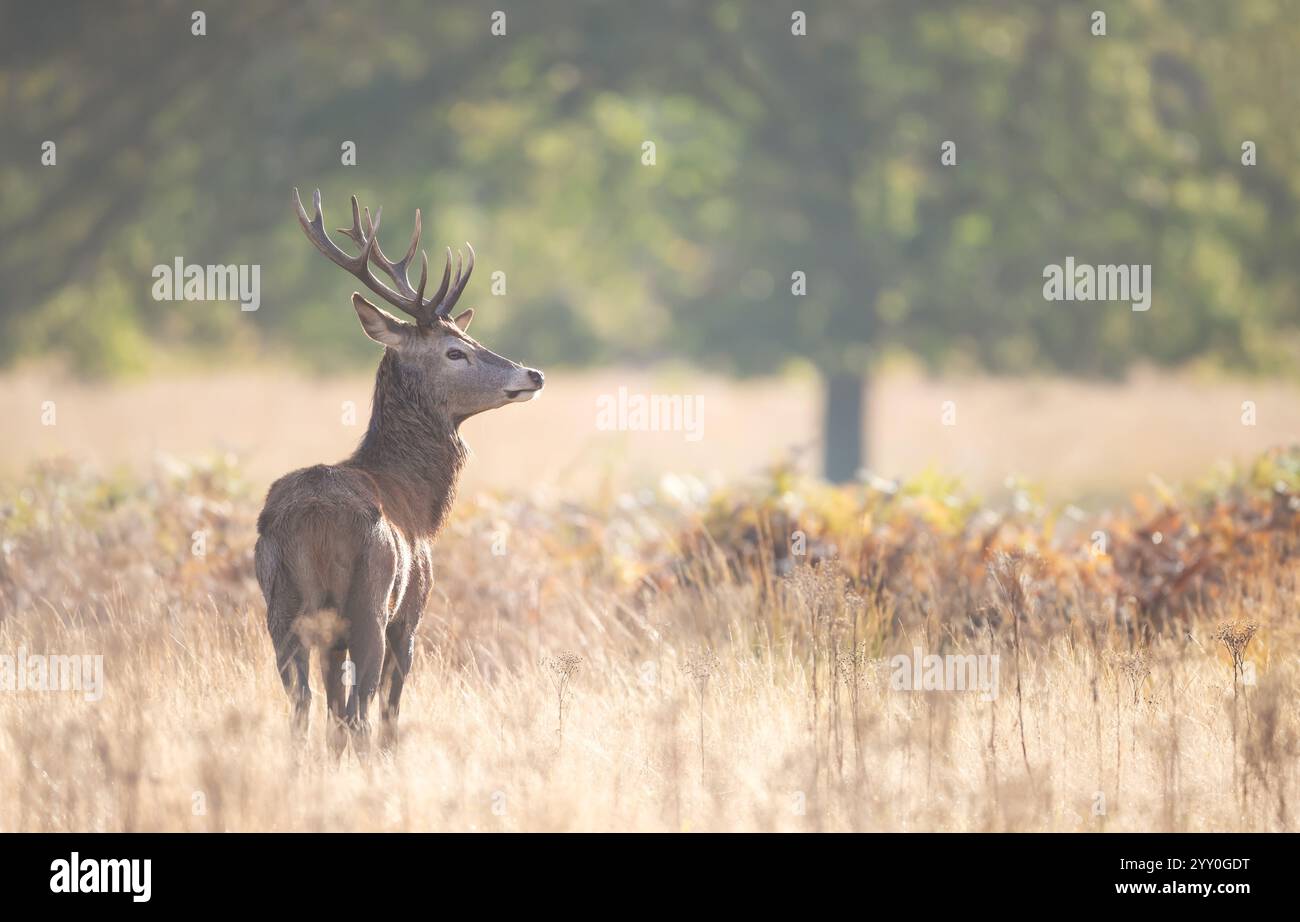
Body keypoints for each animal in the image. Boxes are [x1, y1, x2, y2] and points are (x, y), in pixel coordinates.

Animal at [254, 188, 544, 754]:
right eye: (455, 351)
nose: (533, 373)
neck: (417, 502)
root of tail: (316, 518)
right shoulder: (413, 609)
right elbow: (389, 709)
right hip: (370, 597)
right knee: (359, 712)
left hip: (279, 603)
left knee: (303, 706)